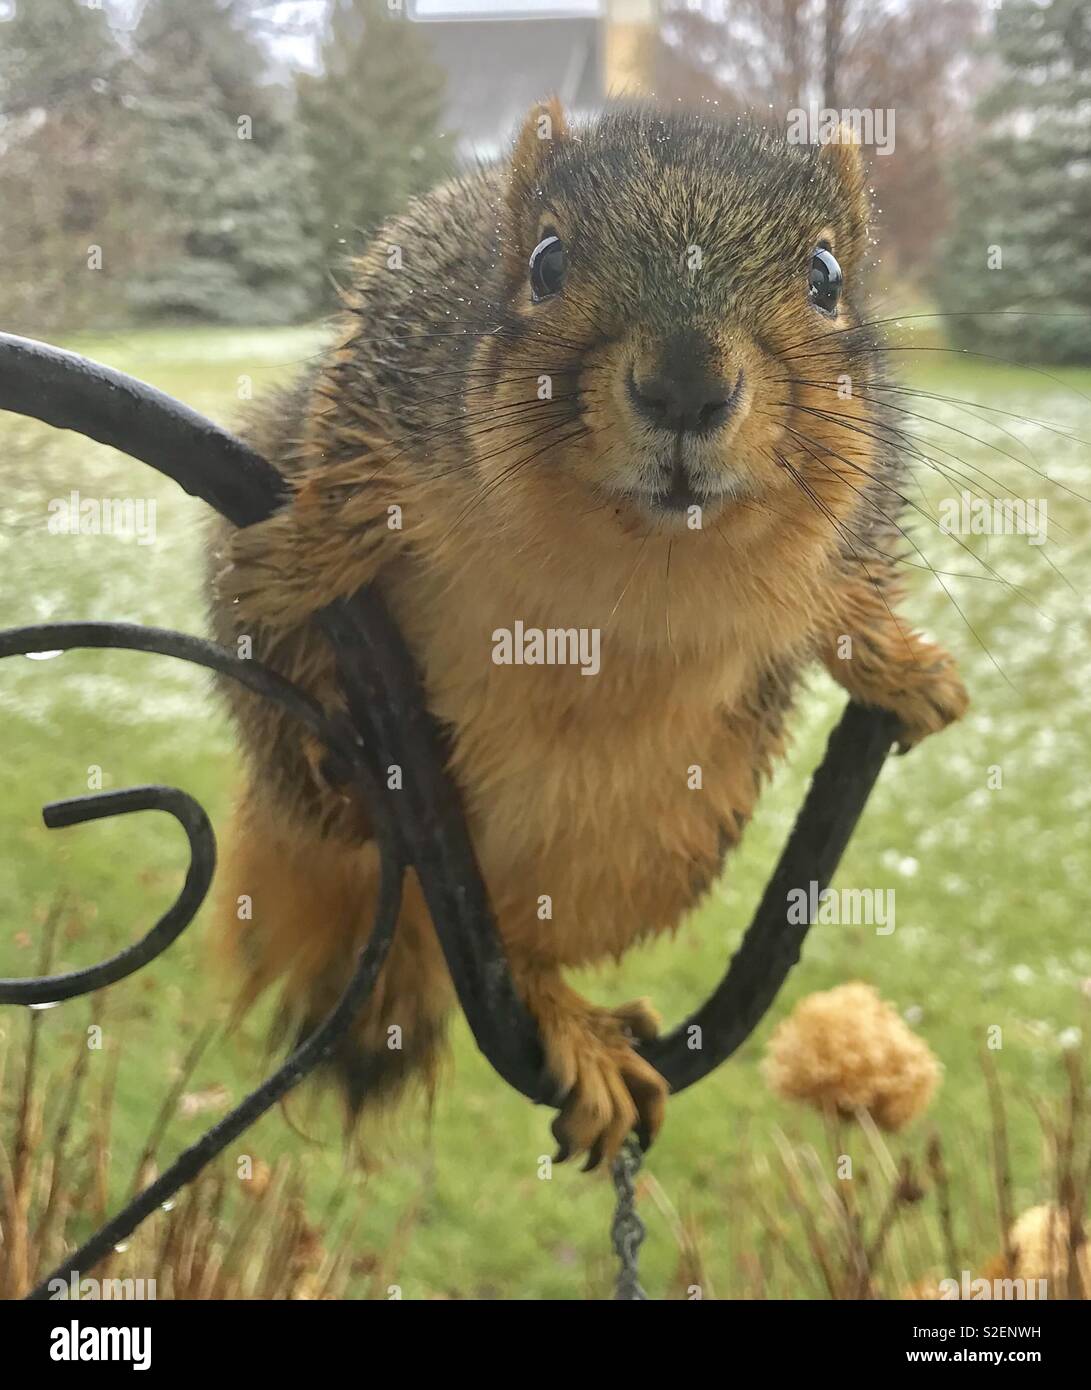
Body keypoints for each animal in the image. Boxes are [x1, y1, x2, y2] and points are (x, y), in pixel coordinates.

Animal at [206, 100, 969, 1168]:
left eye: (826, 277)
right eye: (545, 261)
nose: (686, 385)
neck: (634, 557)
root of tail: (418, 894)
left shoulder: (858, 501)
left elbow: (852, 595)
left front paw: (900, 668)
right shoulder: (398, 343)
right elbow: (354, 469)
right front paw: (310, 554)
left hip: (648, 846)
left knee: (520, 952)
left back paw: (570, 1021)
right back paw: (325, 744)